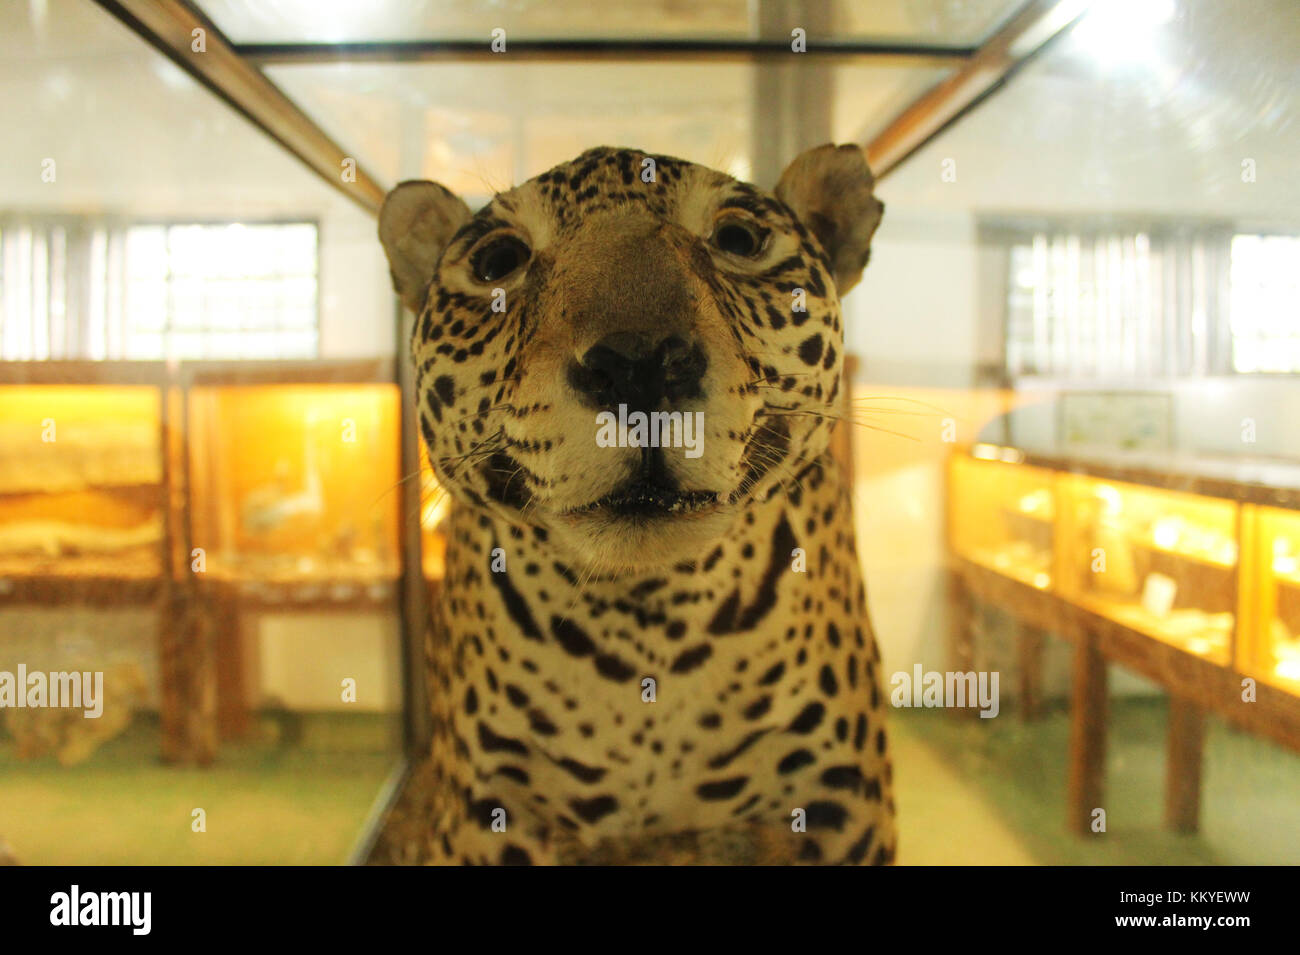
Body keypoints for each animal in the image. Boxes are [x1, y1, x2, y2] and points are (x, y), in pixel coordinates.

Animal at [371, 143, 894, 865]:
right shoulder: (484, 812)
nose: (638, 363)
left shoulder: (850, 803)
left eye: (739, 239)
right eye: (497, 261)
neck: (652, 623)